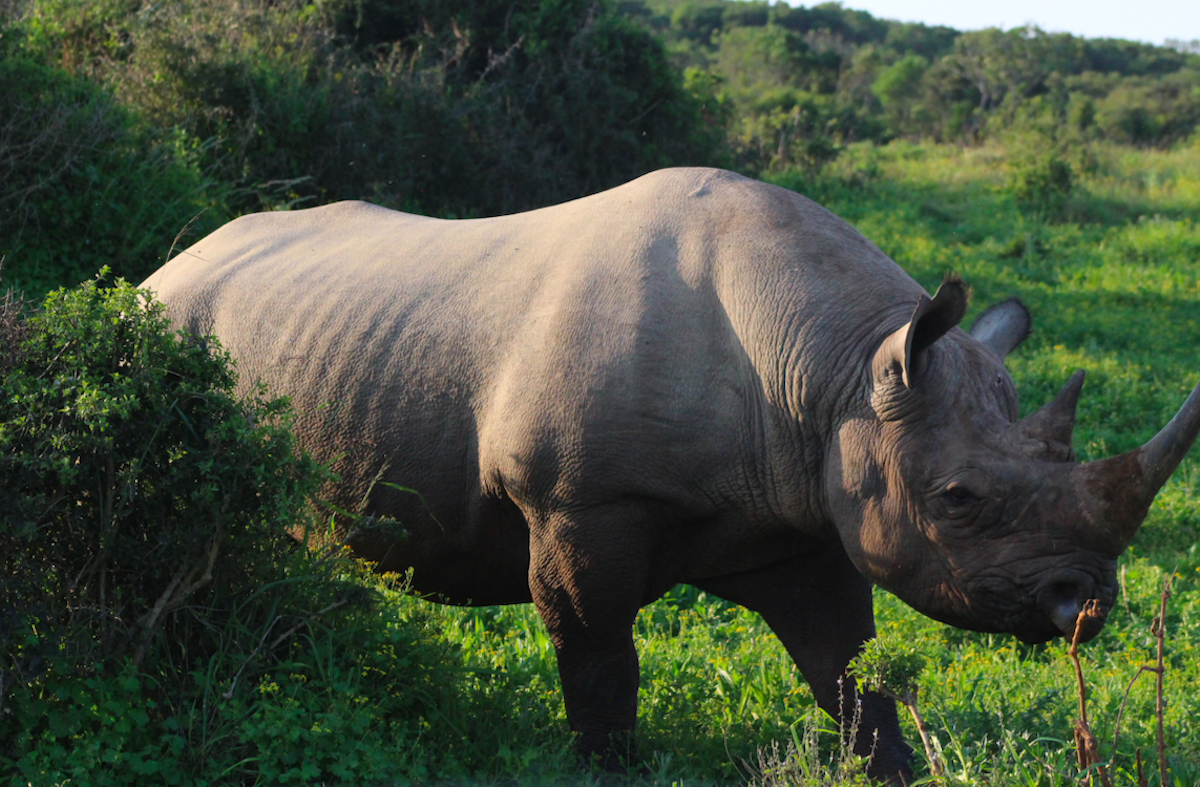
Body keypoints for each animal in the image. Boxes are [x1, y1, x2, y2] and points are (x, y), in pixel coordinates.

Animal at [141, 167, 1200, 780]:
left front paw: (894, 768)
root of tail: (159, 268)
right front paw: (608, 769)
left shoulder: (807, 508)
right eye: (960, 499)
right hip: (183, 322)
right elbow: (599, 652)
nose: (1086, 604)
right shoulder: (578, 496)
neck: (836, 366)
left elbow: (847, 664)